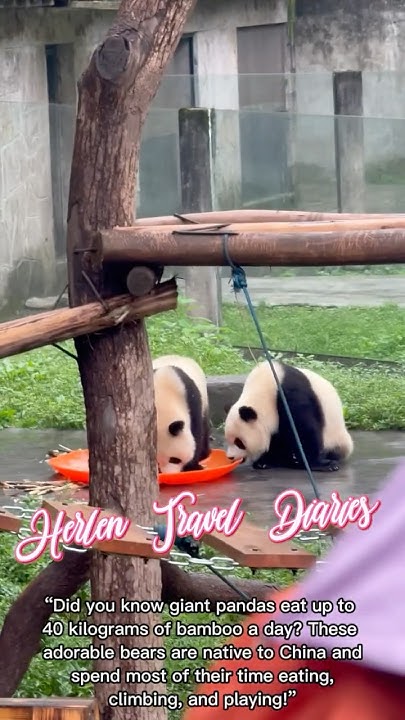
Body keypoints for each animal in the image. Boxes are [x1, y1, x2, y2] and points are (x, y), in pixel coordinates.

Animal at [224, 360, 353, 473]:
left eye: (239, 442)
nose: (230, 457)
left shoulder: (291, 395)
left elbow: (304, 430)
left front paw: (319, 464)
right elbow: (277, 437)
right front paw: (266, 461)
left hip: (337, 439)